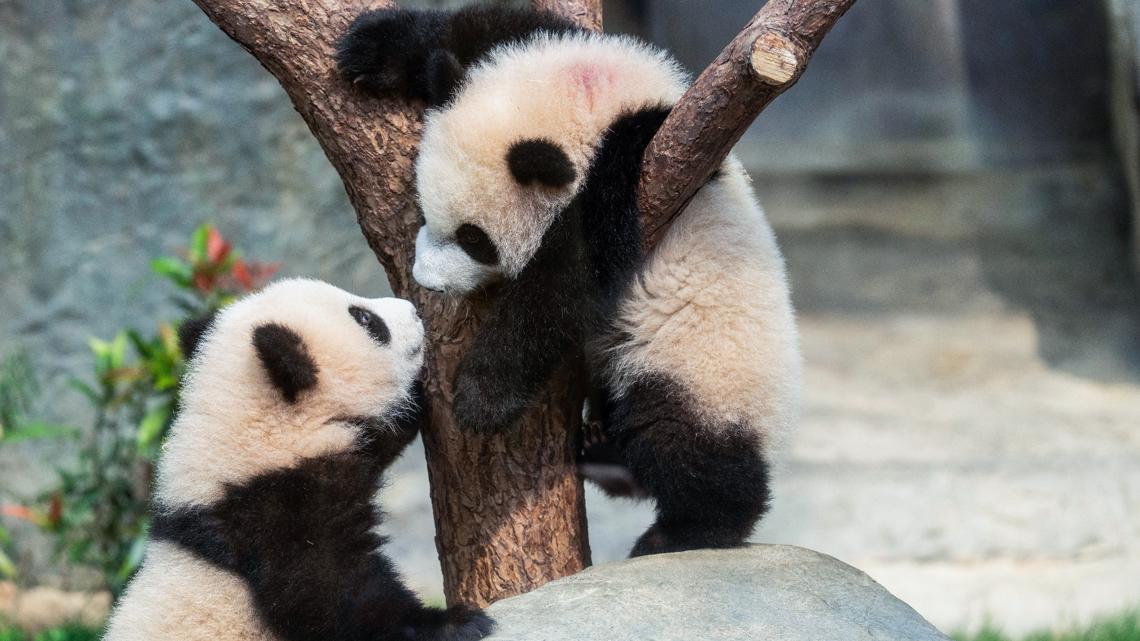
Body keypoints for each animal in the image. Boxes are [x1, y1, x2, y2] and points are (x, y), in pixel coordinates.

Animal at [337, 5, 801, 557]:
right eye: (427, 211)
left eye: (475, 240)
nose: (425, 279)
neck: (597, 101)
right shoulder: (565, 49)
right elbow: (483, 25)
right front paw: (372, 47)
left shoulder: (639, 163)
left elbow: (567, 281)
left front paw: (480, 395)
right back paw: (603, 452)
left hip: (705, 371)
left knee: (688, 449)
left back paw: (681, 531)